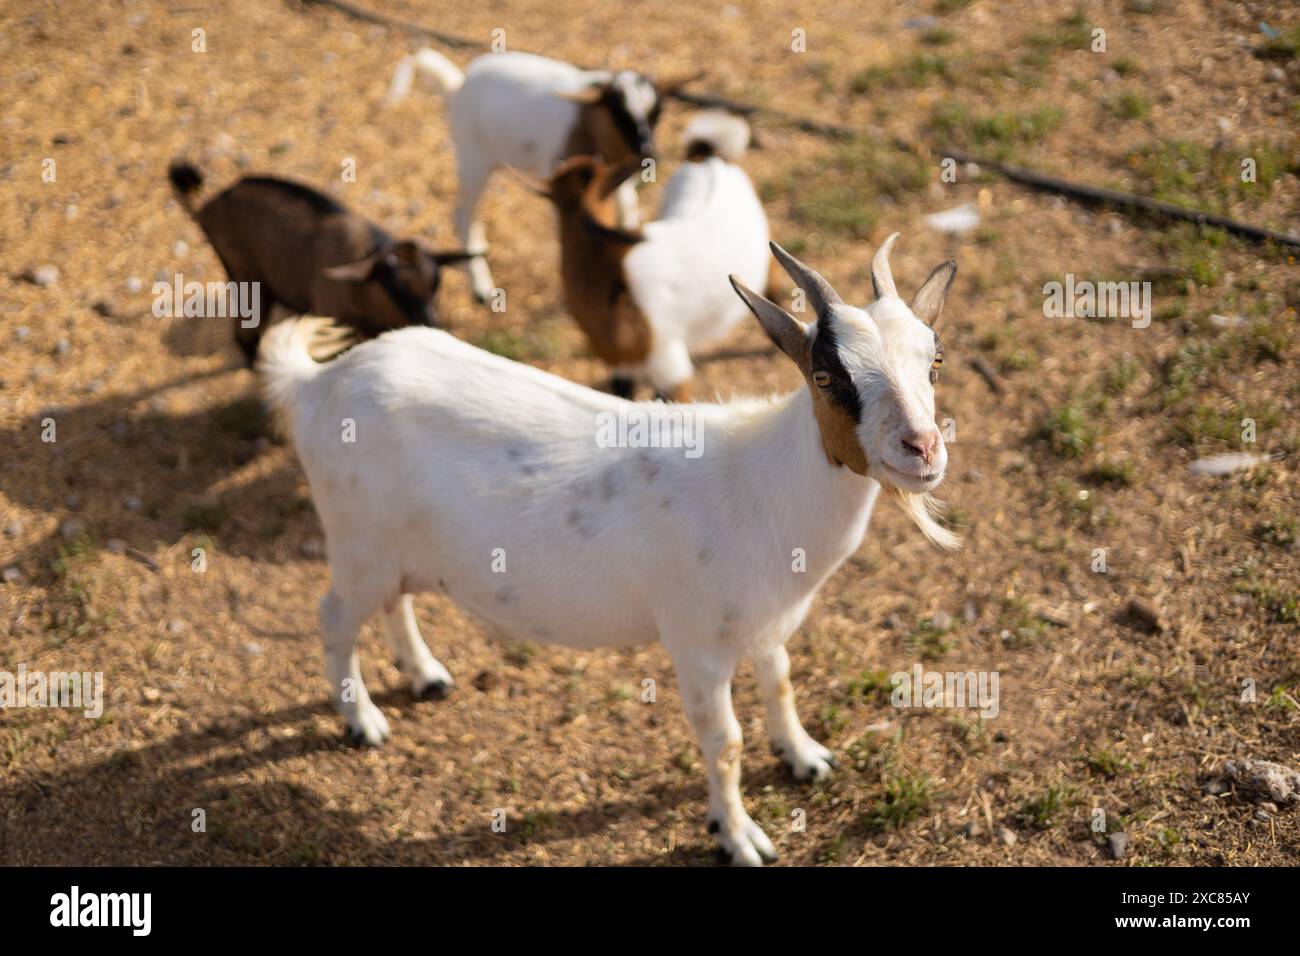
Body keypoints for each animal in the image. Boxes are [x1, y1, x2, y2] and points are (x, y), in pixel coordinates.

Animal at [167, 162, 471, 365]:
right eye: (396, 290)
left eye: (436, 284)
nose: (430, 323)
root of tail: (210, 205)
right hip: (245, 276)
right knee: (246, 335)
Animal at [258, 235, 958, 865]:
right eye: (826, 375)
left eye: (934, 361)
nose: (922, 448)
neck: (758, 484)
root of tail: (316, 384)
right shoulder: (696, 646)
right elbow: (725, 743)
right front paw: (738, 838)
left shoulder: (766, 623)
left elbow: (781, 683)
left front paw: (805, 757)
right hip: (357, 544)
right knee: (334, 616)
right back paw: (362, 721)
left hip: (391, 551)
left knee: (393, 602)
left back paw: (425, 674)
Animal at [386, 48, 698, 302]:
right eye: (620, 114)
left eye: (658, 113)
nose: (648, 151)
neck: (589, 122)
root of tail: (458, 87)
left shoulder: (614, 180)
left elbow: (624, 213)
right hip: (473, 156)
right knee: (463, 213)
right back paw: (481, 285)